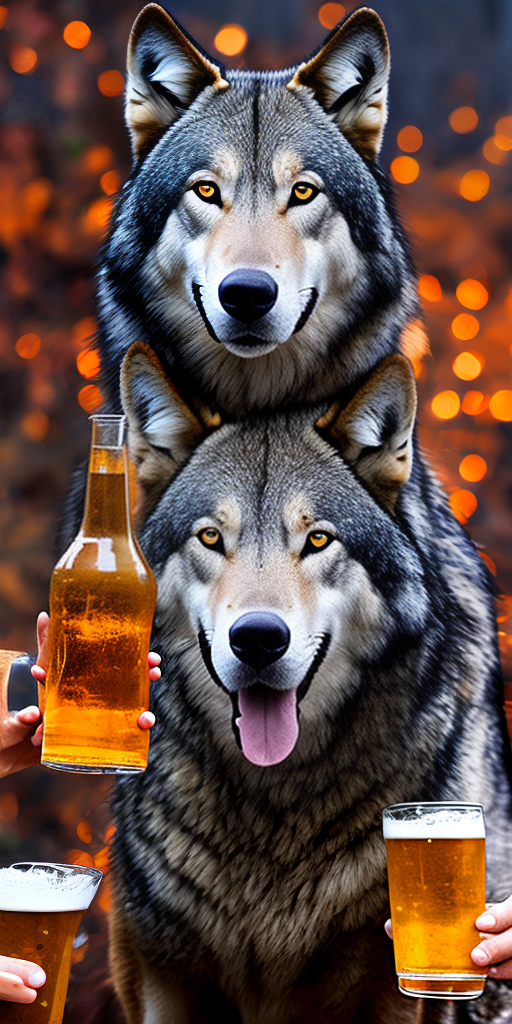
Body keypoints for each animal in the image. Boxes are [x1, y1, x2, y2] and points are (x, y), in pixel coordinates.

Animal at [109, 342, 512, 1024]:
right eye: (211, 537)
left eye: (318, 538)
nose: (257, 638)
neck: (272, 812)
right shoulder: (166, 975)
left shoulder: (390, 989)